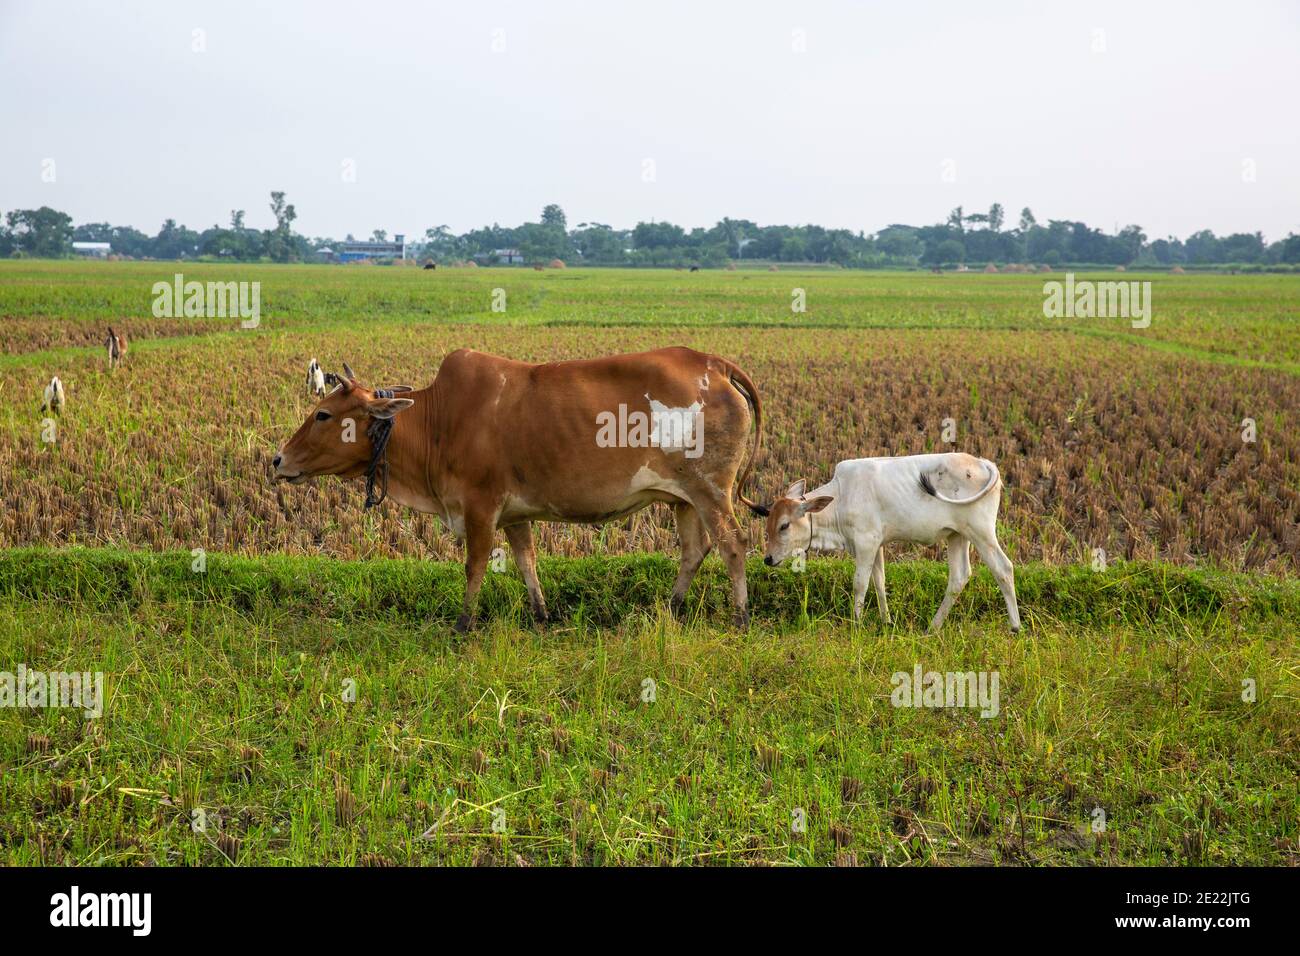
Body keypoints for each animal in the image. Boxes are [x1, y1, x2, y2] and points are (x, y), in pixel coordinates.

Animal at [273, 348, 764, 631]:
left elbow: (474, 566)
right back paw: (673, 607)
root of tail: (715, 365)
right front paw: (541, 615)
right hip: (683, 498)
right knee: (694, 550)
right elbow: (528, 563)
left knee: (732, 544)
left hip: (710, 491)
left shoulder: (480, 507)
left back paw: (740, 617)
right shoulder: (515, 515)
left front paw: (463, 623)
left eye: (323, 415)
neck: (436, 421)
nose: (278, 460)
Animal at [760, 453, 1020, 632]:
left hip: (981, 532)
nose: (768, 558)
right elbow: (879, 582)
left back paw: (1015, 627)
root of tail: (982, 462)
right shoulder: (876, 545)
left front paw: (856, 624)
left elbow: (860, 583)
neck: (841, 498)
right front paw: (887, 621)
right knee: (959, 577)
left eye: (784, 525)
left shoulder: (866, 542)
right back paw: (932, 628)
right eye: (769, 525)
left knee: (1003, 568)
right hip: (958, 535)